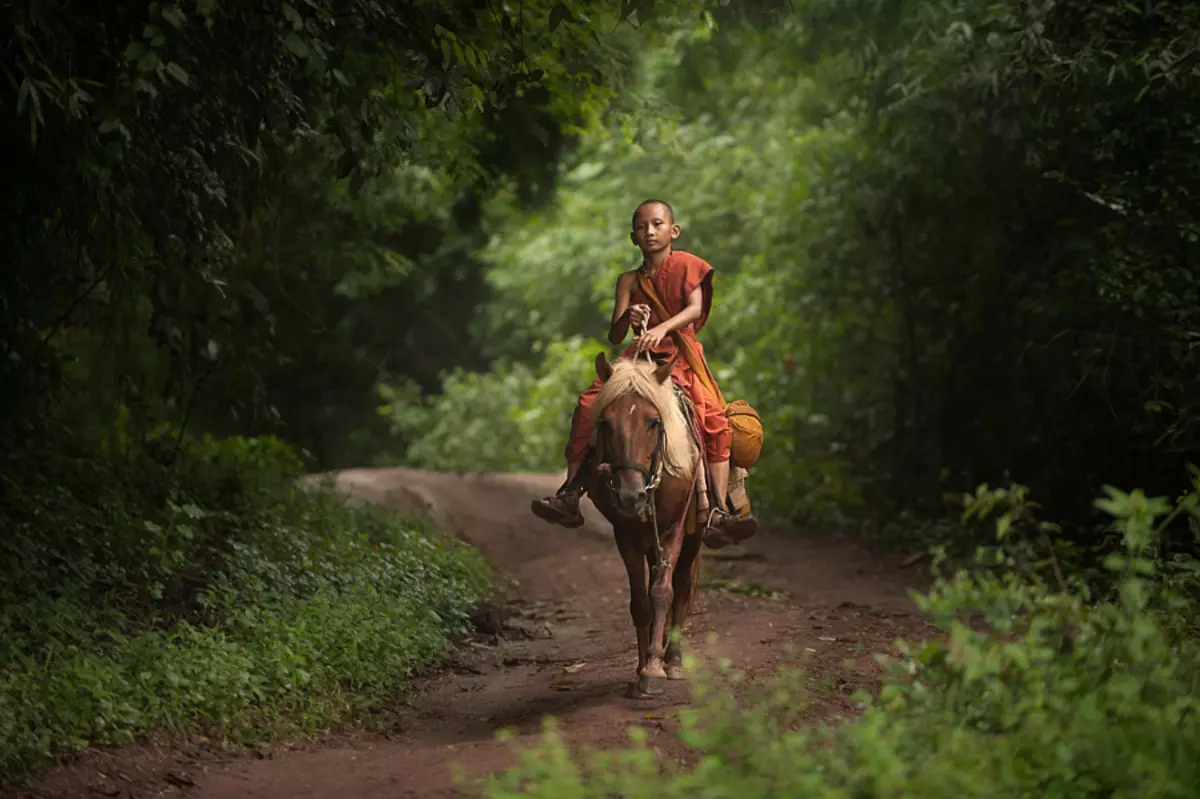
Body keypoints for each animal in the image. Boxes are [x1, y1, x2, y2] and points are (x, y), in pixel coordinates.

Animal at [580, 352, 700, 695]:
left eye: (654, 422)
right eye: (605, 423)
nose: (630, 496)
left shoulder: (674, 530)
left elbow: (662, 593)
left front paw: (654, 670)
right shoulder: (626, 534)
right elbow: (640, 602)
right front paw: (640, 668)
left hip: (694, 534)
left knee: (681, 585)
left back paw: (673, 660)